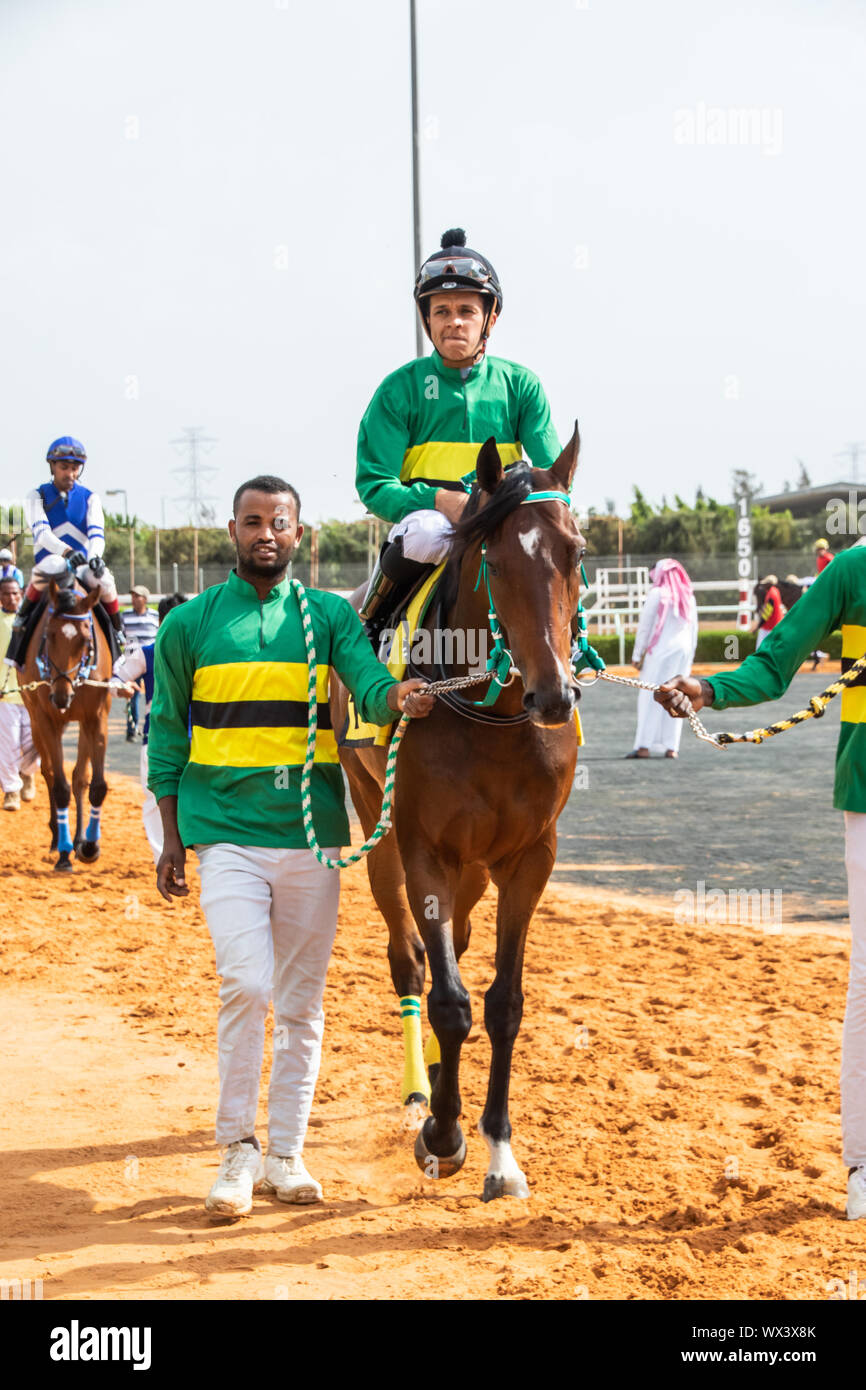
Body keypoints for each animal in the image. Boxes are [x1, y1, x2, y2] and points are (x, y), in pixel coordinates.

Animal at [20, 578, 114, 872]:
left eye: (84, 640)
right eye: (48, 635)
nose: (61, 696)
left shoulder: (96, 717)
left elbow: (96, 785)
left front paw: (89, 847)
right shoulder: (46, 718)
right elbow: (59, 786)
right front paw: (63, 854)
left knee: (78, 777)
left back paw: (79, 839)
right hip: (36, 719)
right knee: (50, 773)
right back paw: (56, 840)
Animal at [332, 426, 583, 1200]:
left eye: (575, 552)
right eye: (495, 563)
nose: (553, 696)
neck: (495, 718)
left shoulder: (531, 858)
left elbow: (503, 1003)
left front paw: (500, 1147)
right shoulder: (426, 851)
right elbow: (448, 998)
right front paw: (442, 1135)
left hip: (477, 865)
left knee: (459, 944)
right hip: (378, 832)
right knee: (409, 959)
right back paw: (421, 1091)